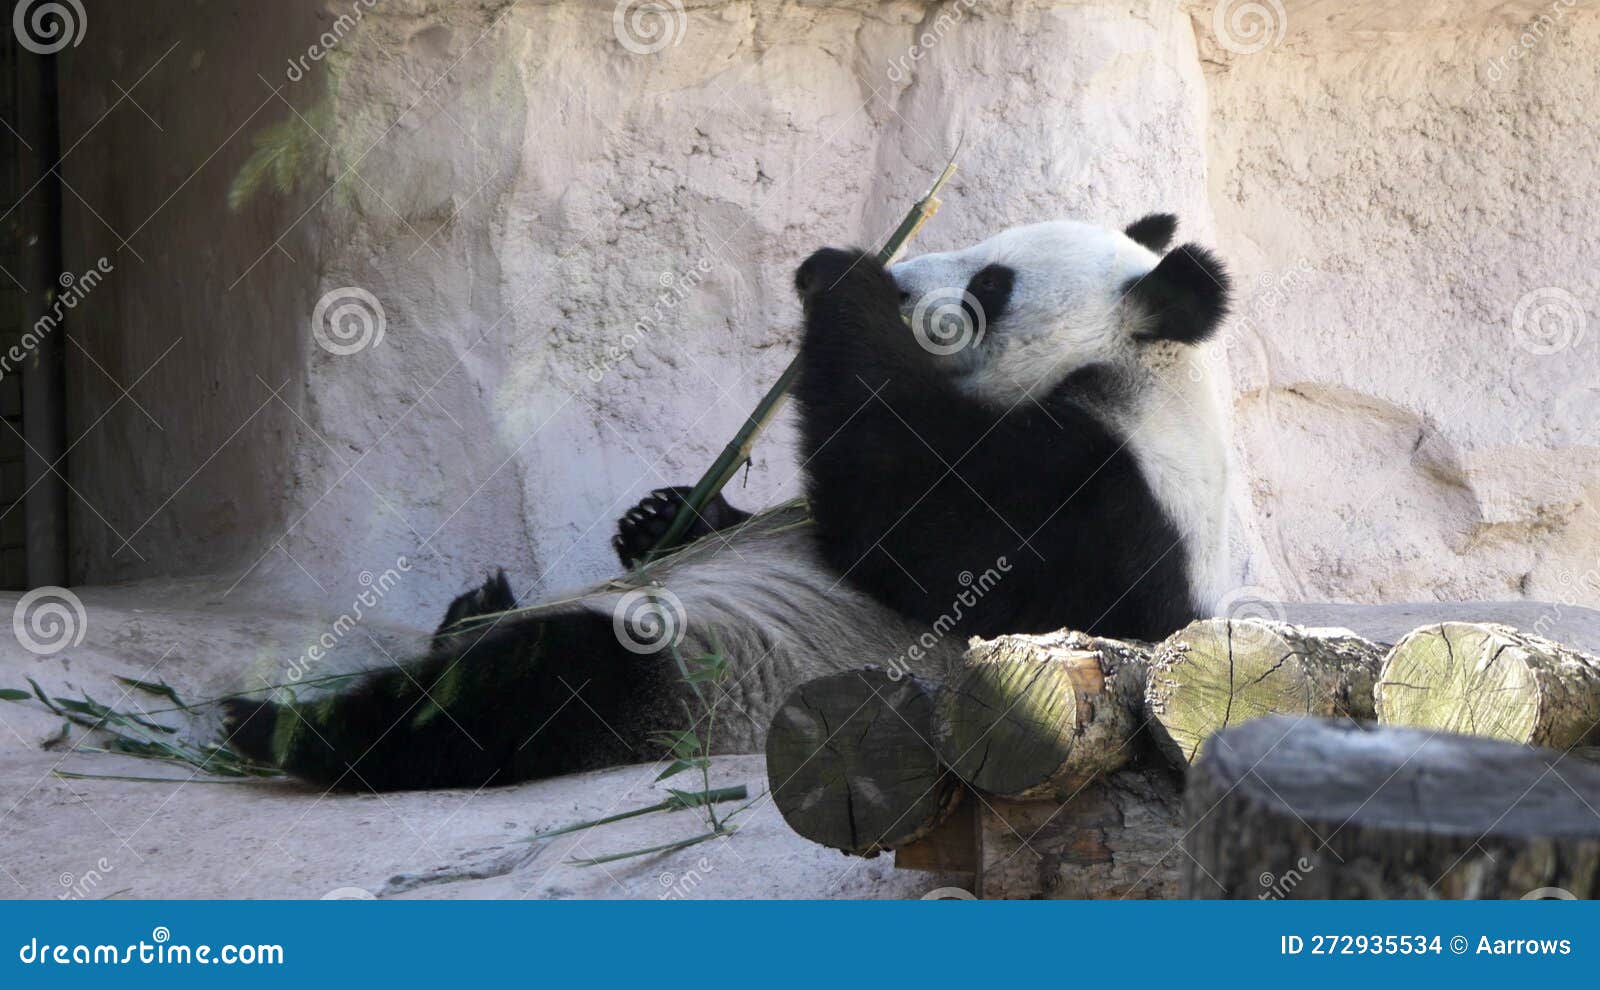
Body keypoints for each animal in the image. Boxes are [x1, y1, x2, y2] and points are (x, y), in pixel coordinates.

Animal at [224, 213, 1232, 791]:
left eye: (992, 284)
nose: (909, 281)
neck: (1139, 375)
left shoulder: (1110, 509)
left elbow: (922, 533)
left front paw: (846, 281)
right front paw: (664, 515)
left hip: (698, 683)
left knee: (535, 690)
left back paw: (283, 730)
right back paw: (473, 607)